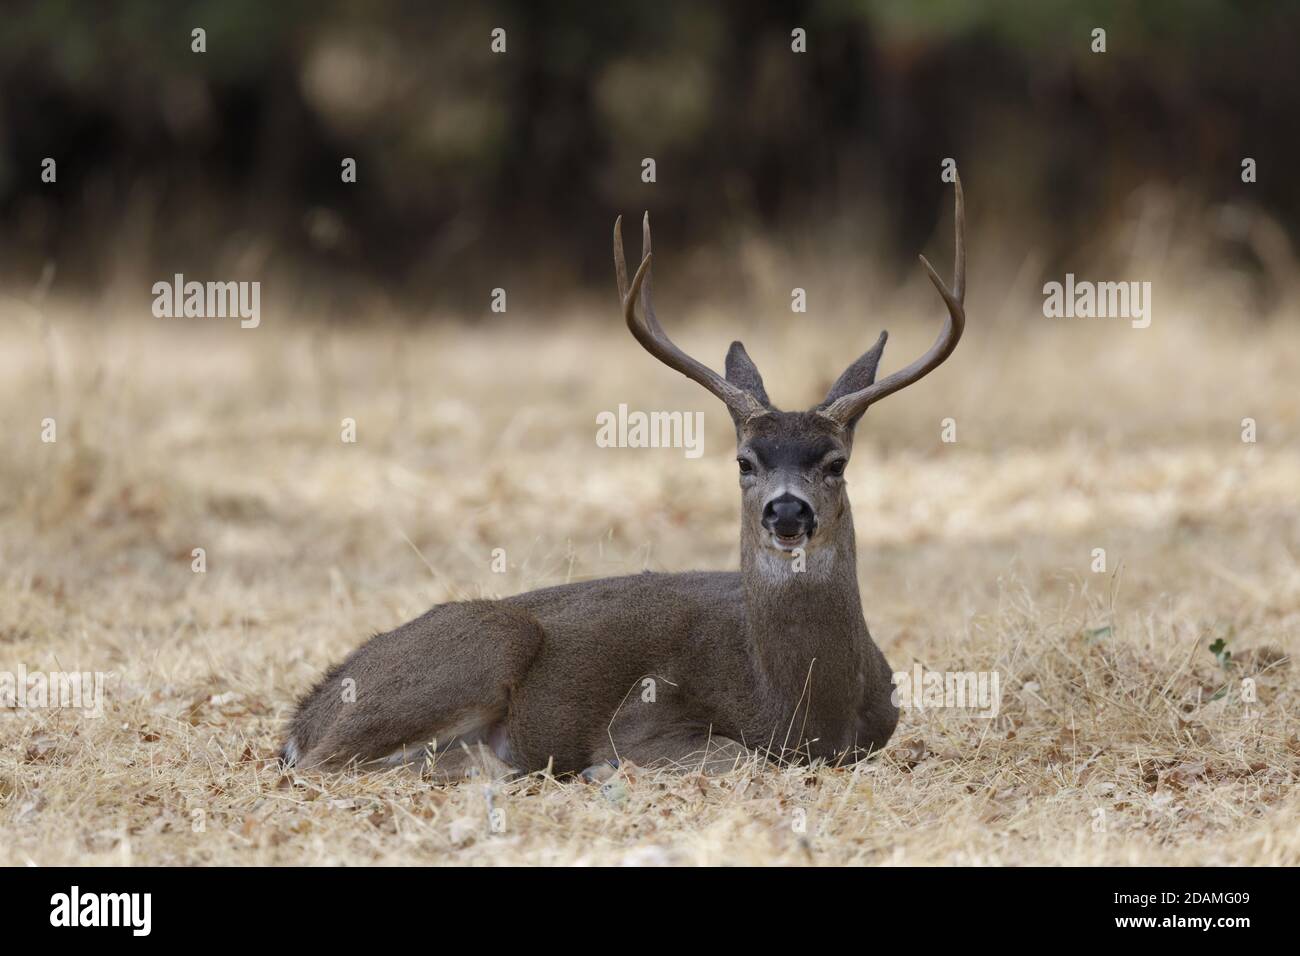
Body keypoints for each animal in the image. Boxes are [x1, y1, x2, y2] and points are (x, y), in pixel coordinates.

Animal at [281, 178, 965, 781]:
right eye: (744, 461)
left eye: (836, 462)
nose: (788, 512)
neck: (802, 709)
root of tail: (303, 716)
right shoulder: (640, 721)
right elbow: (738, 755)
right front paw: (601, 770)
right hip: (487, 641)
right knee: (331, 765)